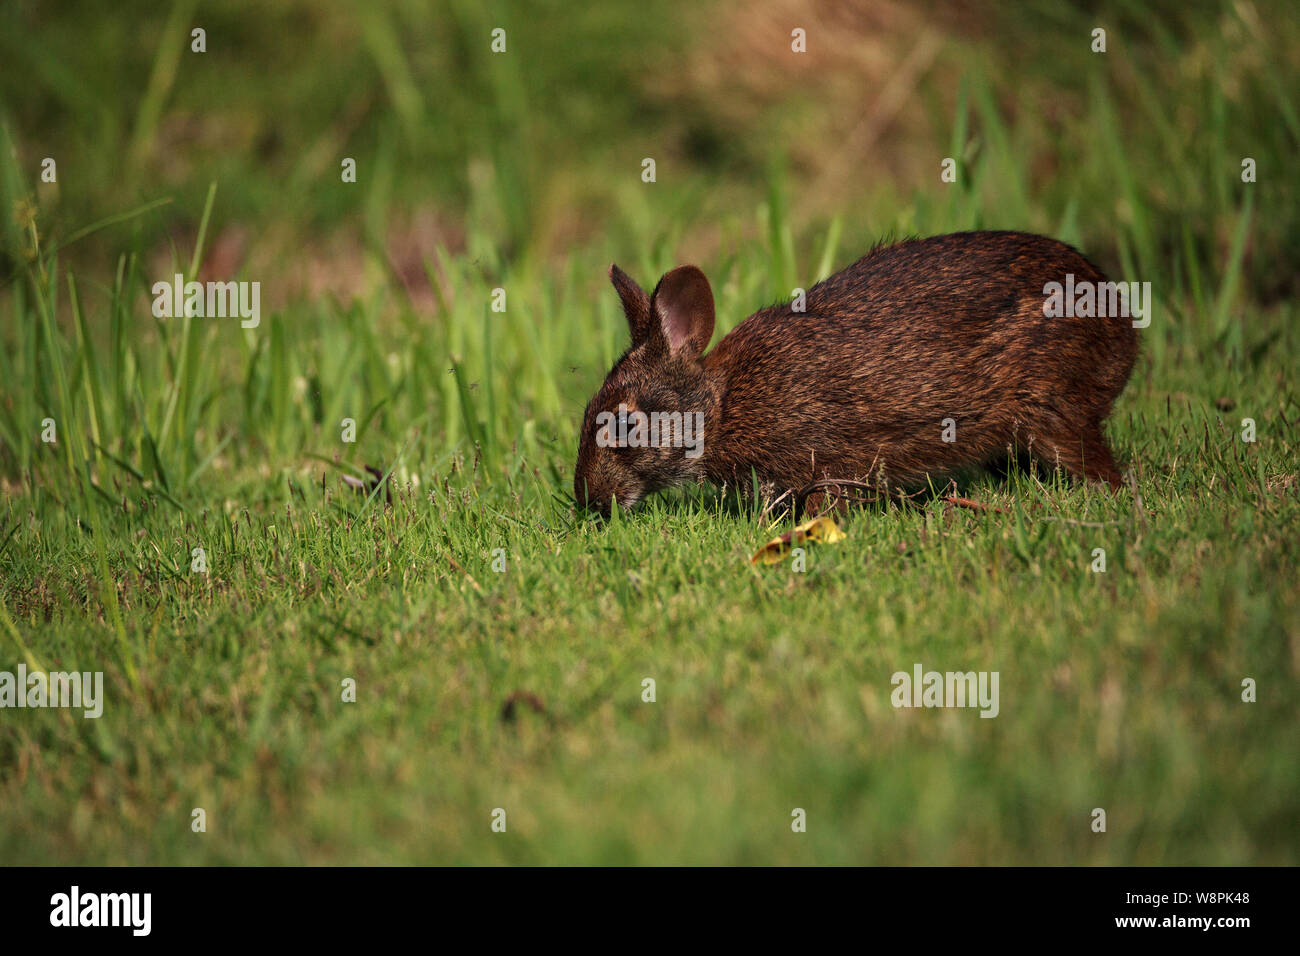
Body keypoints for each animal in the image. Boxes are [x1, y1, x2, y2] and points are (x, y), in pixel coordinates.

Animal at [573, 230, 1138, 518]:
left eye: (624, 424)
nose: (588, 500)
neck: (722, 406)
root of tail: (1123, 332)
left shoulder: (826, 457)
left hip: (1049, 407)